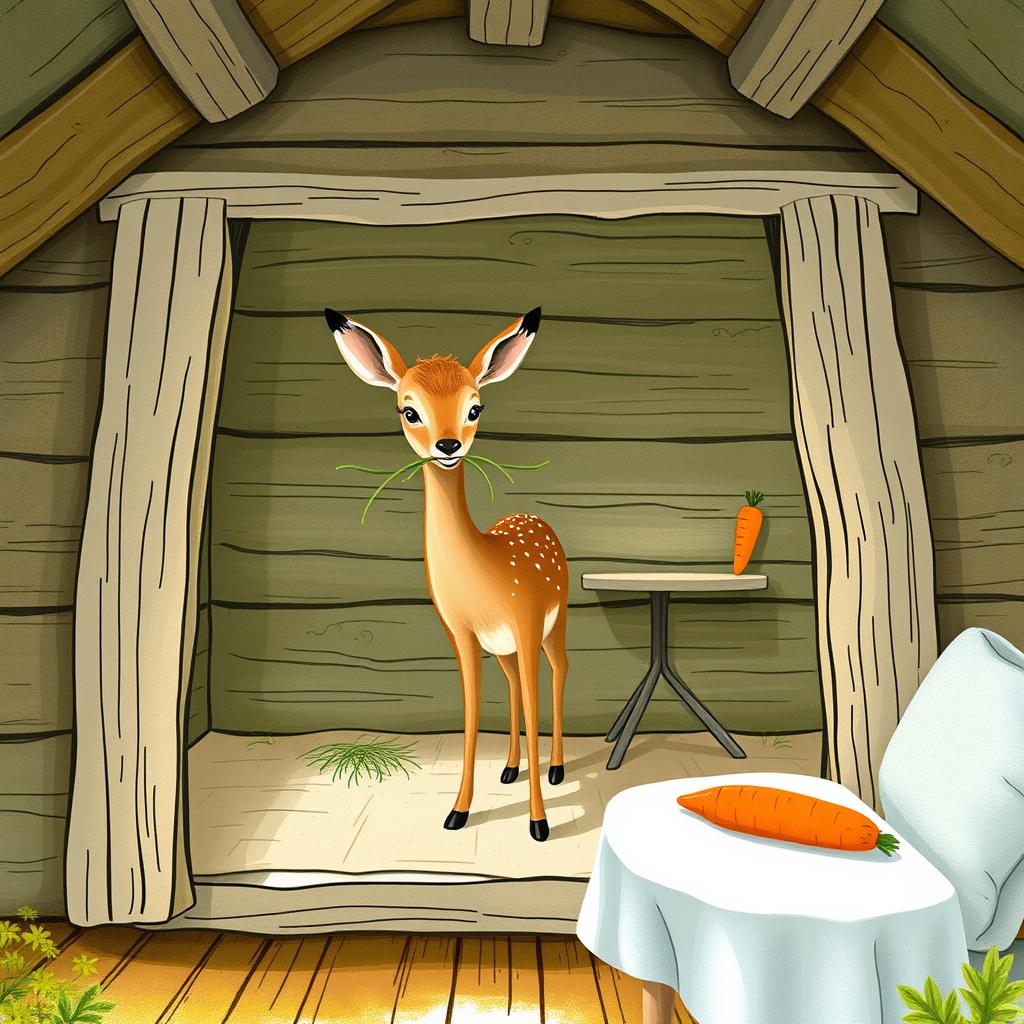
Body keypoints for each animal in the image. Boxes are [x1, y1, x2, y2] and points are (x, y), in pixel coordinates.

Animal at [324, 306, 569, 842]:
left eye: (475, 408)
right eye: (408, 410)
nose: (448, 444)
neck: (485, 571)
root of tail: (535, 518)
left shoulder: (524, 620)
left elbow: (532, 701)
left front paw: (539, 823)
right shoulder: (461, 634)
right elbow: (472, 712)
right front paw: (457, 812)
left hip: (554, 621)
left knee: (559, 670)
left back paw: (558, 769)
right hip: (505, 646)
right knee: (512, 684)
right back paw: (511, 768)